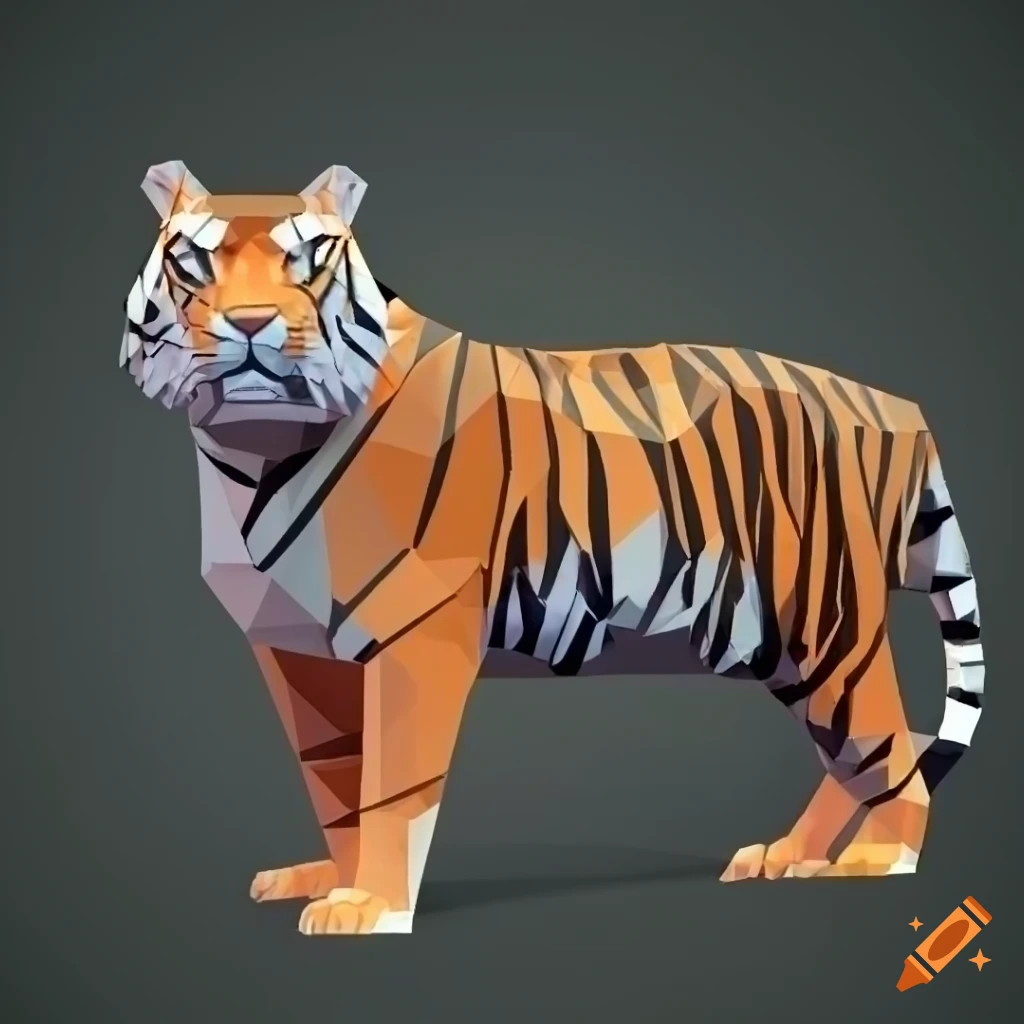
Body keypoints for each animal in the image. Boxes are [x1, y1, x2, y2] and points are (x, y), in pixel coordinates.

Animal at [120, 160, 985, 936]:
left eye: (311, 258)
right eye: (193, 260)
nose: (252, 323)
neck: (252, 452)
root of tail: (897, 410)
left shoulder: (413, 633)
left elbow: (392, 786)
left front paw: (371, 906)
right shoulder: (295, 649)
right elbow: (334, 783)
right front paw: (331, 879)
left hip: (827, 625)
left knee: (887, 747)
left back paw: (874, 859)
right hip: (780, 645)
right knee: (866, 753)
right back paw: (787, 855)